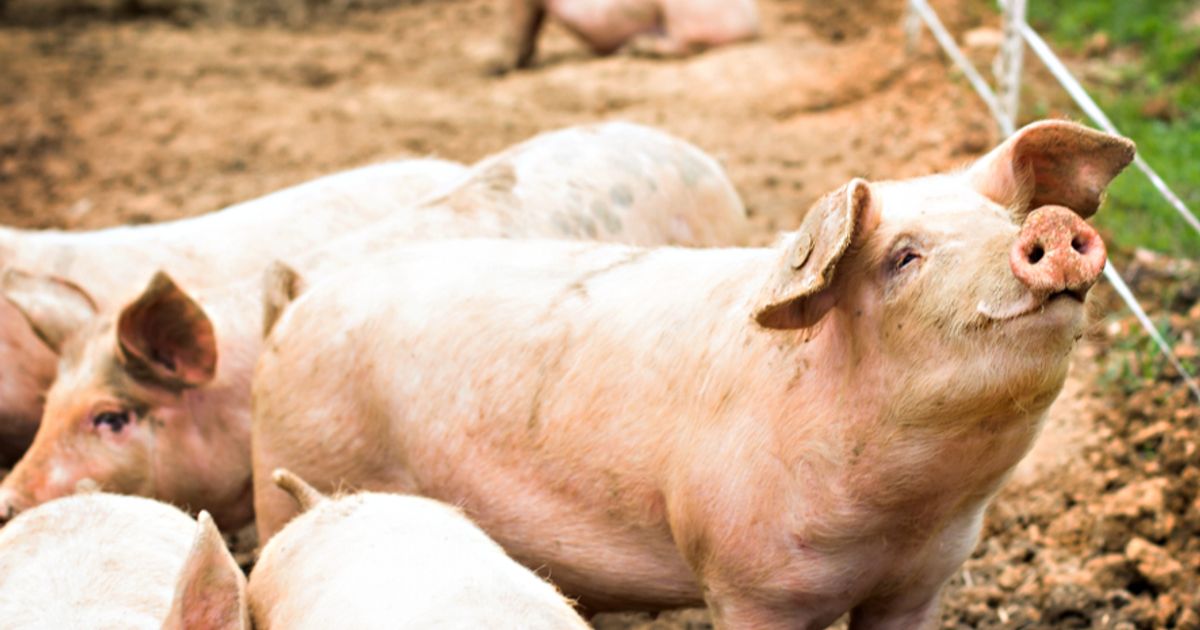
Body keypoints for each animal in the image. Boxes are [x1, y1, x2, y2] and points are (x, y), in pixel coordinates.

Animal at [489, 0, 760, 73]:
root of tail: (754, 26)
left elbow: (516, 28)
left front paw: (494, 70)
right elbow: (529, 29)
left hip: (681, 13)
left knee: (686, 47)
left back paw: (633, 48)